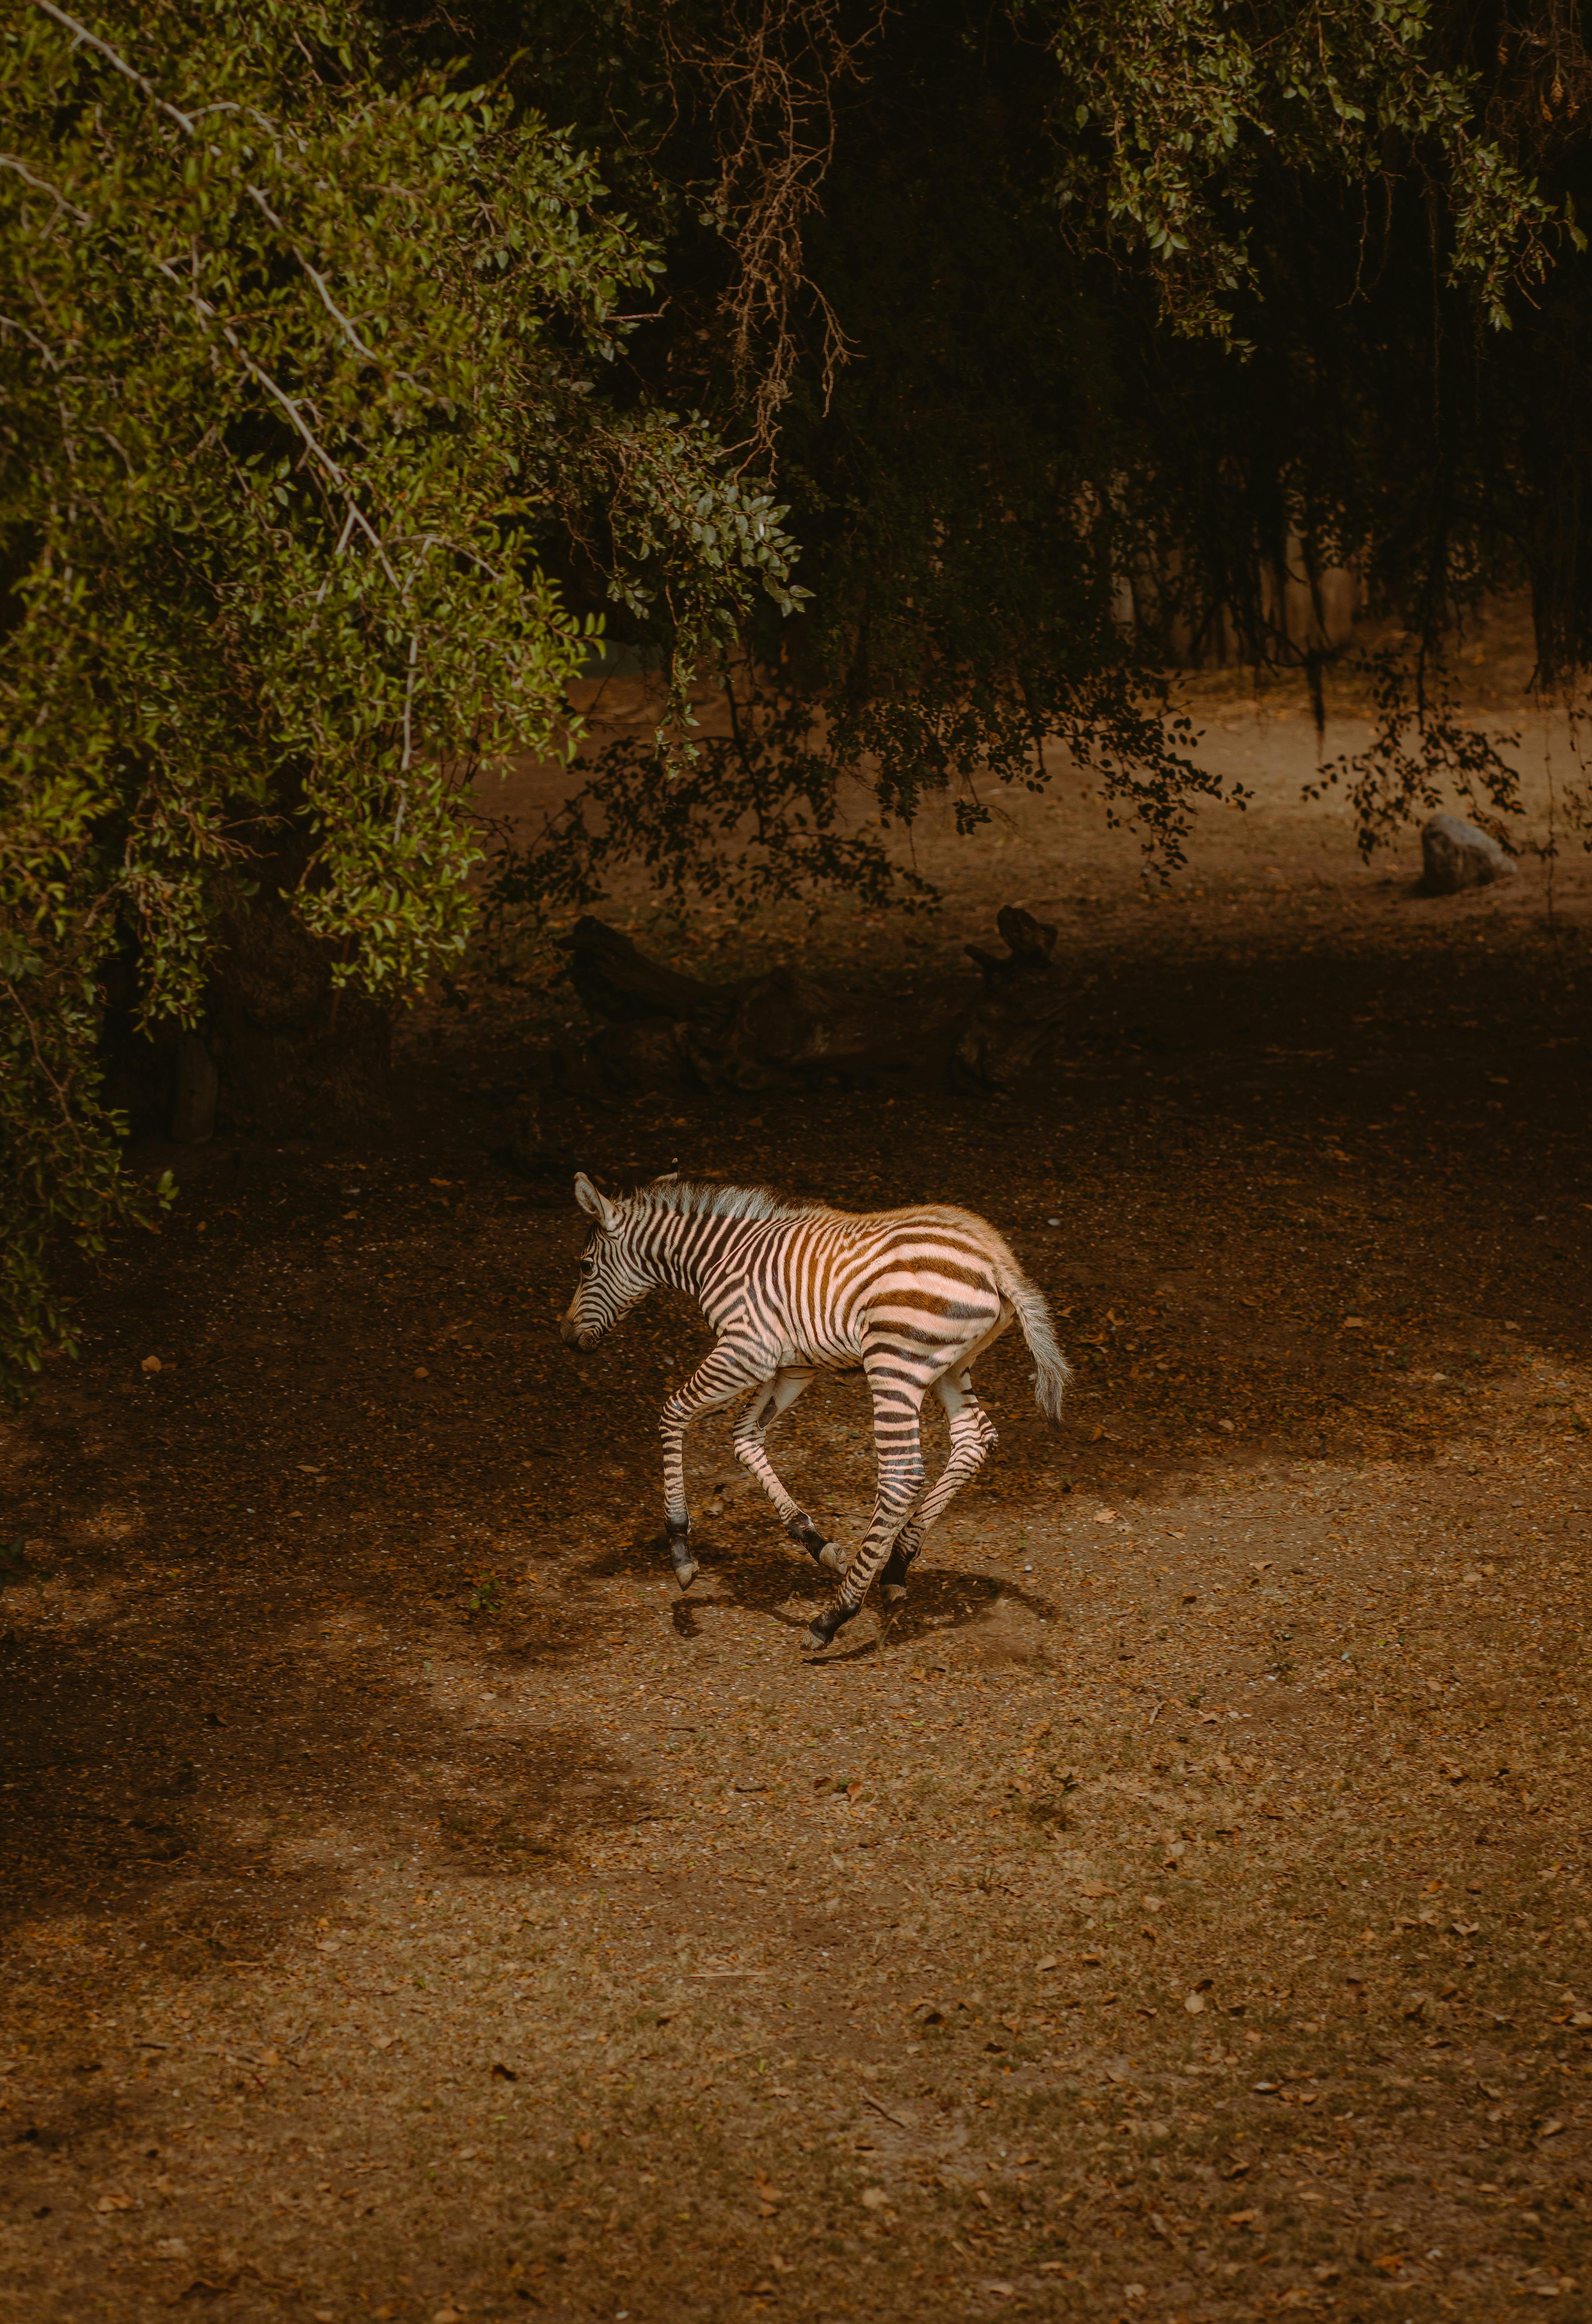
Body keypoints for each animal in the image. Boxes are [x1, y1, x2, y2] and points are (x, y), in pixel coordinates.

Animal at [558, 1172, 1069, 1649]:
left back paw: (833, 1616)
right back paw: (896, 1568)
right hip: (951, 1367)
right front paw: (816, 1543)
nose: (567, 1338)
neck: (717, 1257)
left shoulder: (746, 1351)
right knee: (973, 1442)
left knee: (901, 1475)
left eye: (585, 1266)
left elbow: (672, 1415)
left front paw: (682, 1553)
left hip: (894, 1365)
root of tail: (994, 1258)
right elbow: (745, 1438)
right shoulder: (793, 1366)